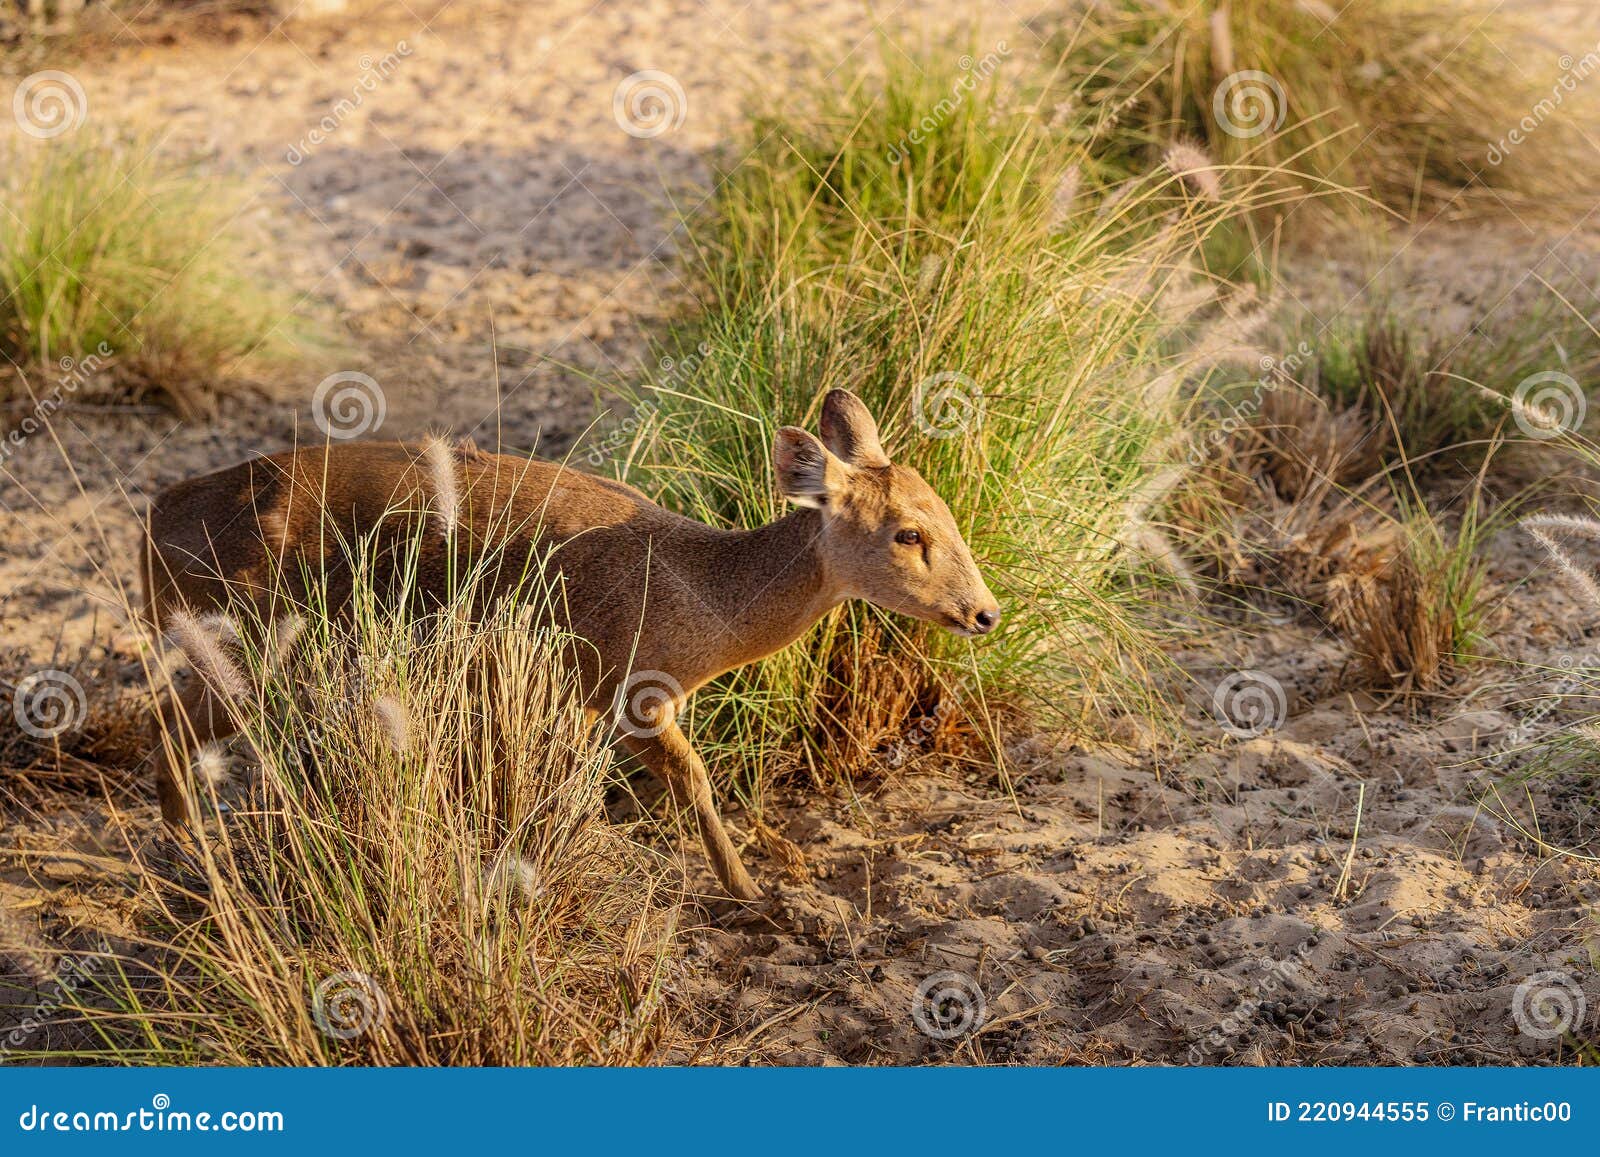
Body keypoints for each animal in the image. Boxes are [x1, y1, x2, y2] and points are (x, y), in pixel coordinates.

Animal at [141, 389, 1000, 900]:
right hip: (259, 650)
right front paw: (752, 890)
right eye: (907, 532)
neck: (704, 593)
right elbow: (692, 779)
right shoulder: (635, 695)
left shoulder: (584, 700)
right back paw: (192, 860)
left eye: (947, 511)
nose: (985, 612)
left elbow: (566, 789)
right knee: (170, 722)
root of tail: (157, 519)